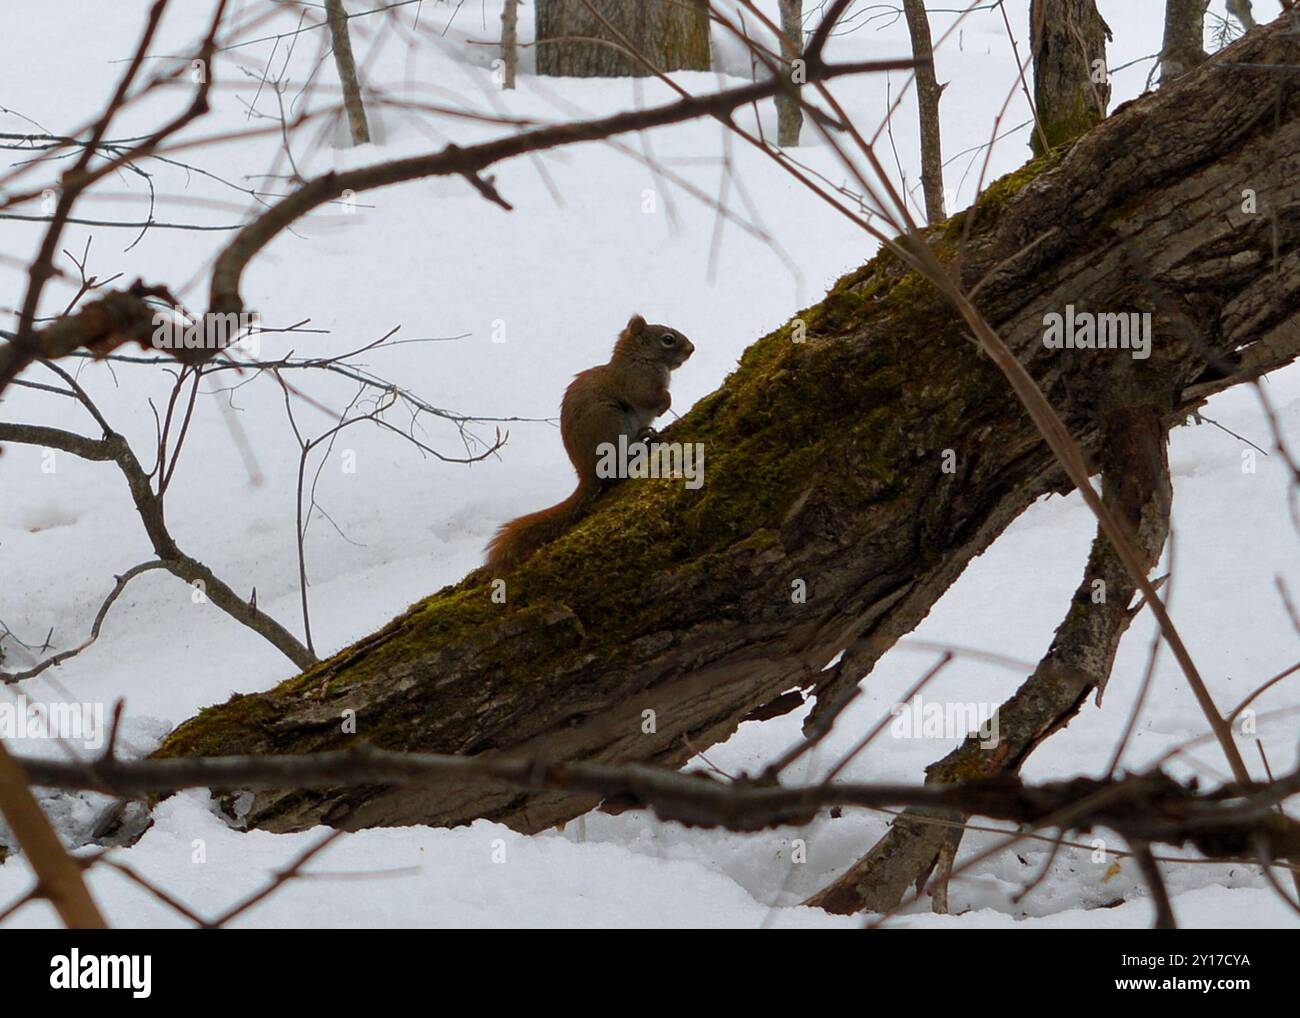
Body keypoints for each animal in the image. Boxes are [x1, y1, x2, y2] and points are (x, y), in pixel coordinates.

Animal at [484, 313, 695, 572]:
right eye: (668, 339)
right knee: (616, 468)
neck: (639, 359)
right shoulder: (636, 382)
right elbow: (651, 397)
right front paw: (665, 404)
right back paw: (638, 444)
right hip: (609, 421)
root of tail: (586, 473)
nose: (692, 349)